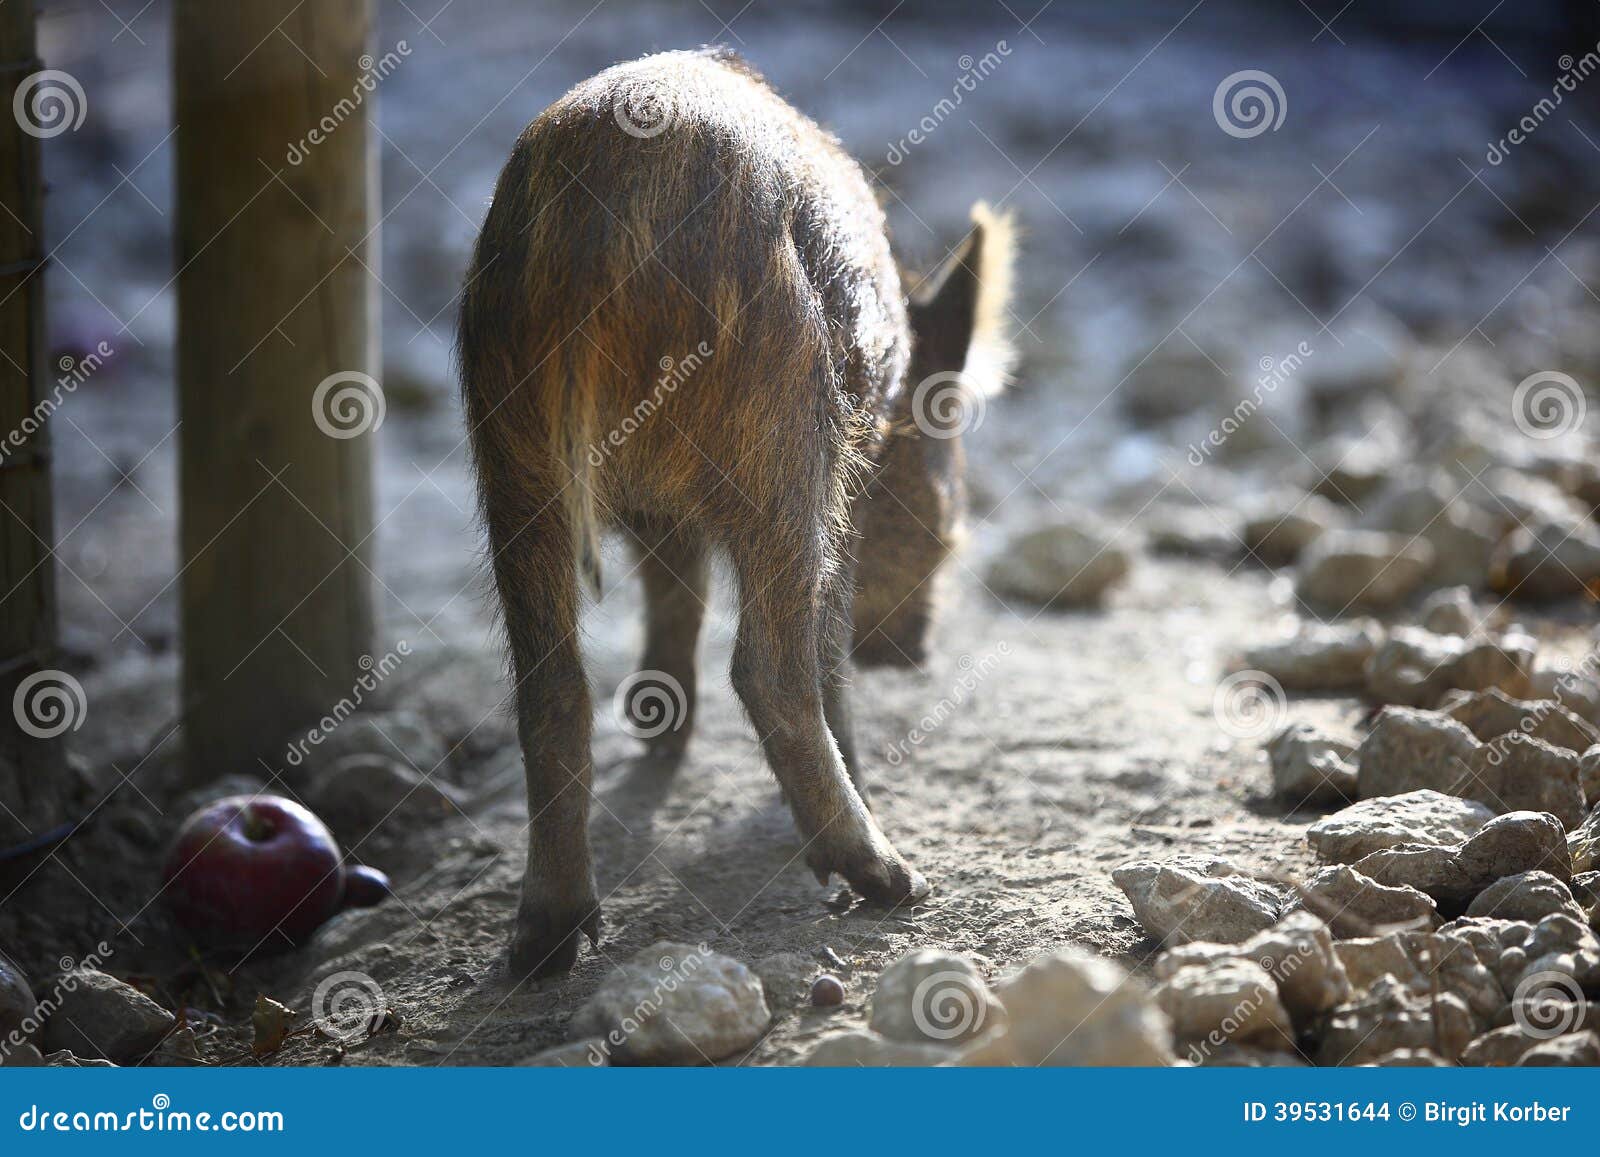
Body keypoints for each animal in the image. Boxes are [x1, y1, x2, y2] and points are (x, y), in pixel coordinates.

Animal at [458, 48, 1014, 977]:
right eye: (951, 519)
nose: (915, 652)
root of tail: (597, 216)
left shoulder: (655, 511)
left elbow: (674, 590)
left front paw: (660, 733)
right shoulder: (845, 472)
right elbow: (826, 646)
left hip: (509, 447)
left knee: (551, 685)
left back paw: (546, 945)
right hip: (784, 430)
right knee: (767, 666)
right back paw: (892, 880)